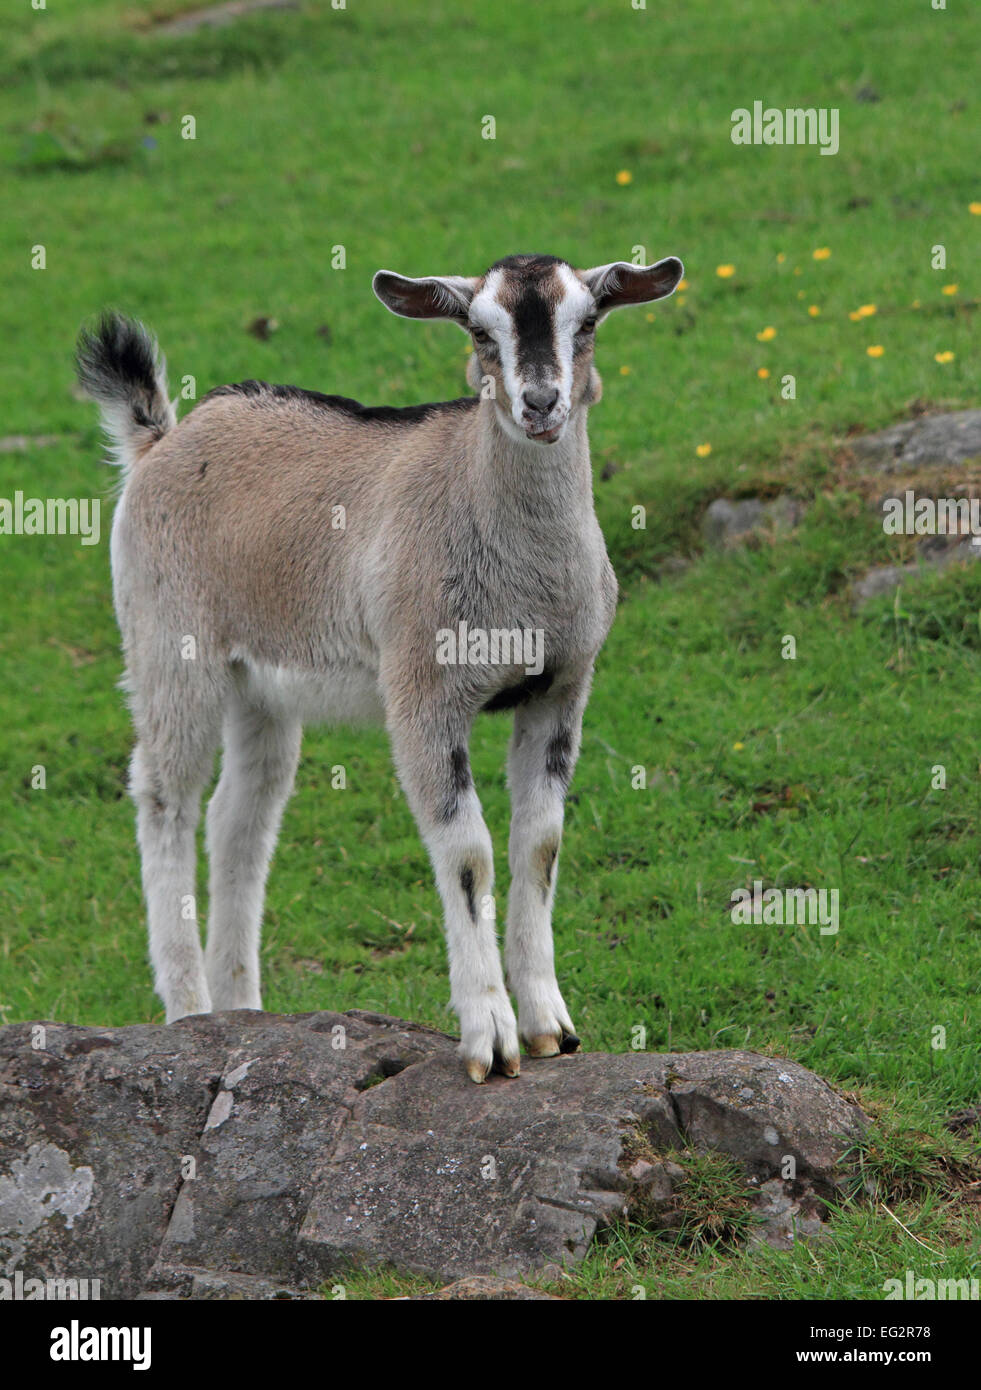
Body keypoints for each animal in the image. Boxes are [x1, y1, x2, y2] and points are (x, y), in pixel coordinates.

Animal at [75, 251, 683, 1082]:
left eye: (586, 320)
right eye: (478, 331)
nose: (539, 403)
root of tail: (161, 439)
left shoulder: (559, 689)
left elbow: (539, 843)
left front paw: (548, 1025)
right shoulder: (421, 693)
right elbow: (468, 852)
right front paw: (488, 1036)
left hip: (261, 687)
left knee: (240, 818)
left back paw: (242, 1010)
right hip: (170, 649)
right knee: (165, 797)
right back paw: (191, 1010)